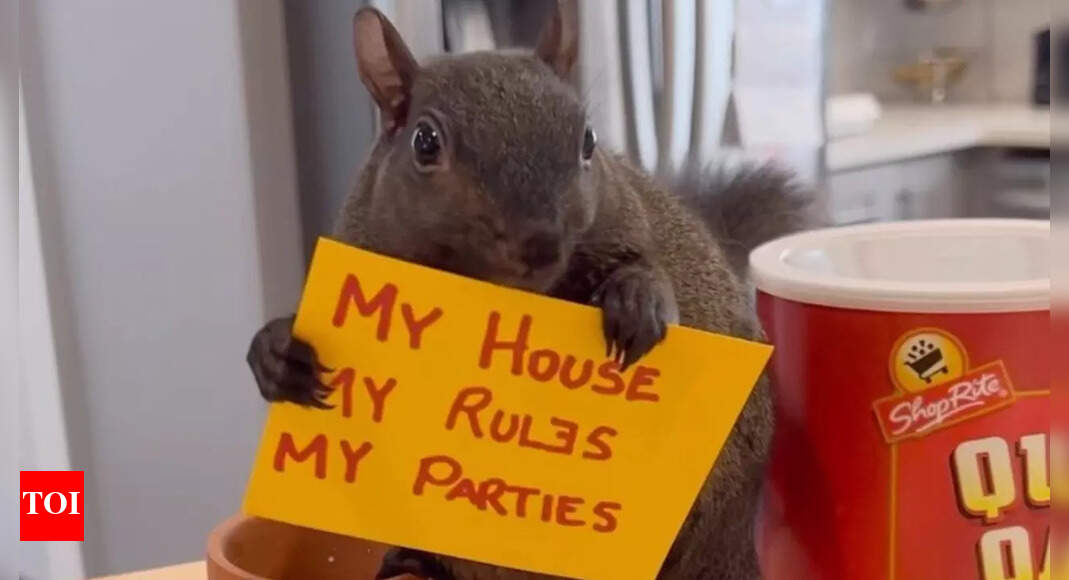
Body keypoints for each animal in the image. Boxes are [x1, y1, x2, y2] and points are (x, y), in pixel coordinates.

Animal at [246, 2, 816, 579]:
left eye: (588, 140)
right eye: (424, 142)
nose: (541, 242)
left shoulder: (629, 227)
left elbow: (647, 273)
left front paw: (636, 307)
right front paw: (277, 352)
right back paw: (415, 562)